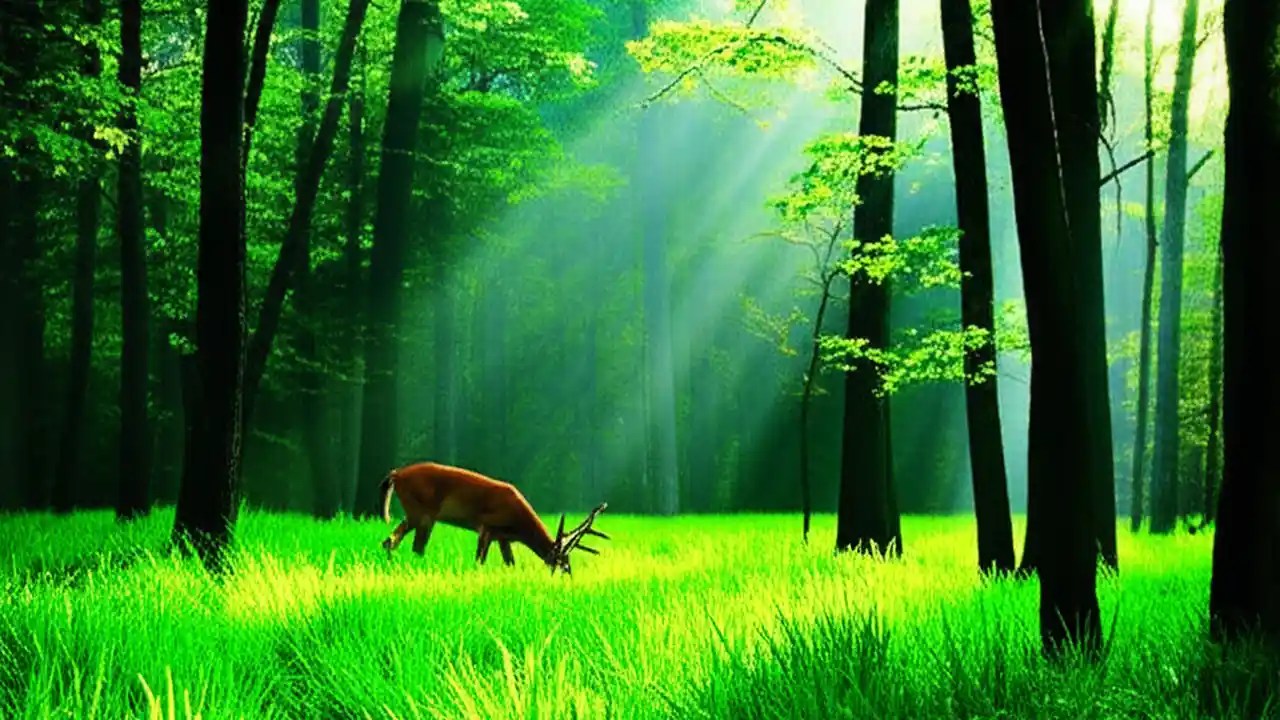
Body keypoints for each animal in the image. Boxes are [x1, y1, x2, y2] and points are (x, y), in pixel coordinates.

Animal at [376, 461, 609, 574]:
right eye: (561, 560)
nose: (567, 574)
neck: (519, 524)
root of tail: (396, 474)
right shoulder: (486, 526)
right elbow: (479, 560)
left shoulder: (503, 537)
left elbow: (510, 563)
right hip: (421, 512)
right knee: (412, 546)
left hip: (415, 514)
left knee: (391, 541)